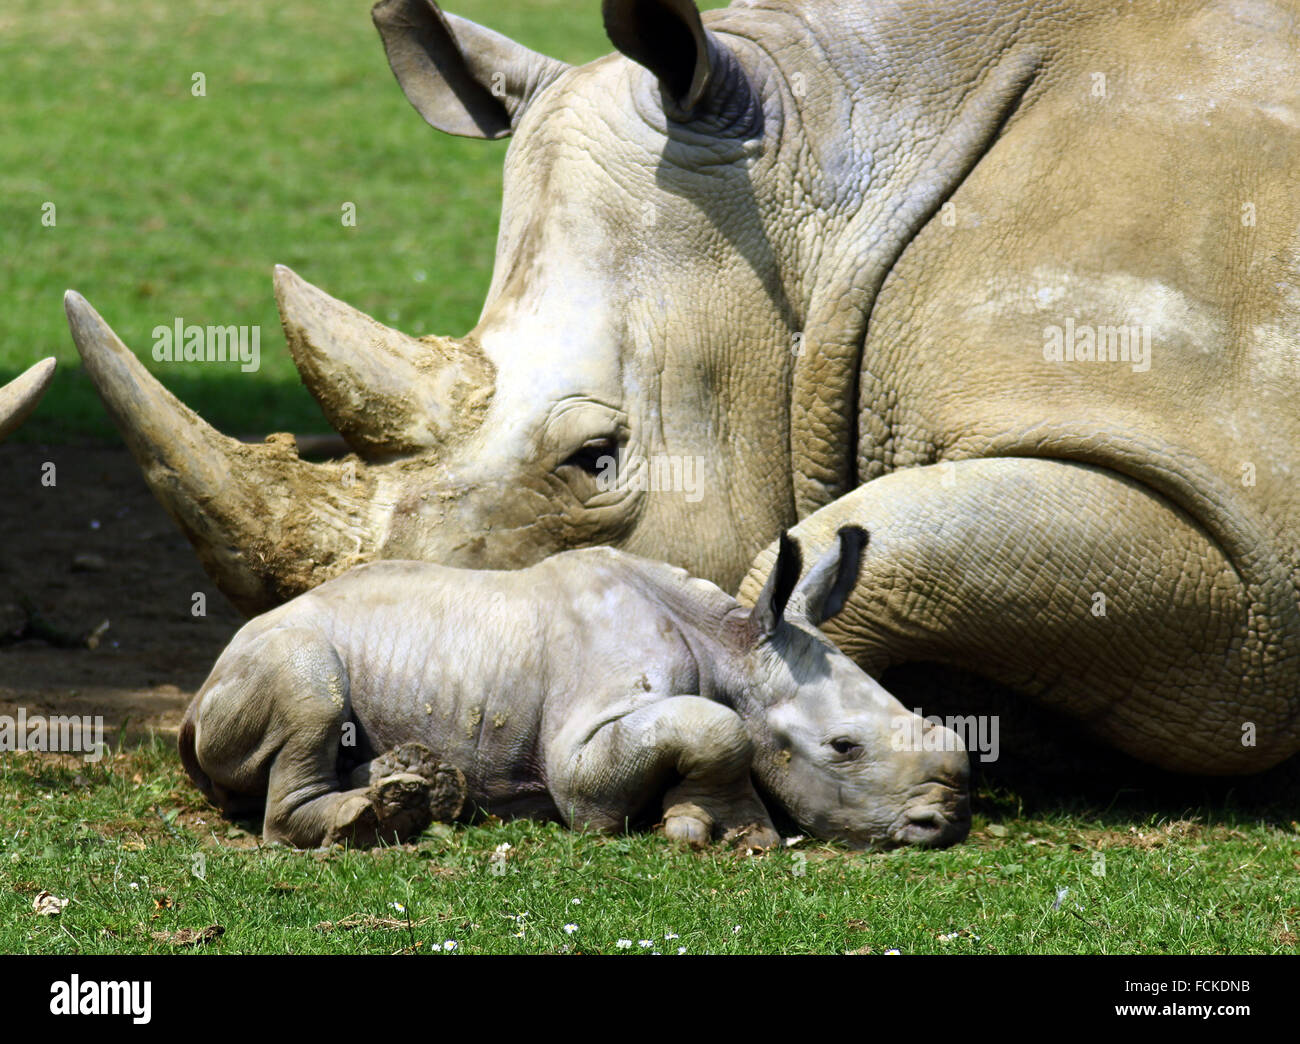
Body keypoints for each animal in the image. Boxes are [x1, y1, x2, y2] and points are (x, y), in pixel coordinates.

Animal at [179, 527, 969, 849]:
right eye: (843, 748)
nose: (948, 822)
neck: (732, 649)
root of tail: (196, 693)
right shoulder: (582, 751)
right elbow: (717, 730)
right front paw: (726, 832)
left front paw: (708, 826)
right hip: (270, 654)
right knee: (307, 676)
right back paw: (368, 821)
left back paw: (417, 787)